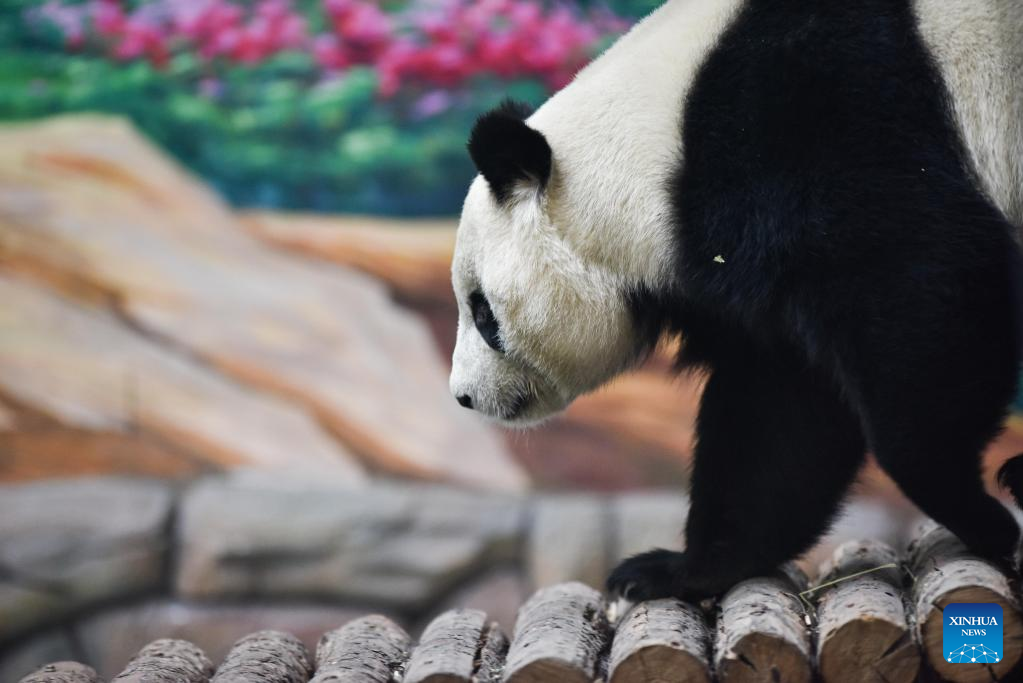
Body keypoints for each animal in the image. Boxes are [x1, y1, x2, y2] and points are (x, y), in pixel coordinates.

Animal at [449, 0, 1023, 601]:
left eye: (483, 312)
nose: (464, 396)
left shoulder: (819, 122)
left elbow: (920, 284)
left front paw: (976, 513)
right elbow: (779, 411)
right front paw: (675, 569)